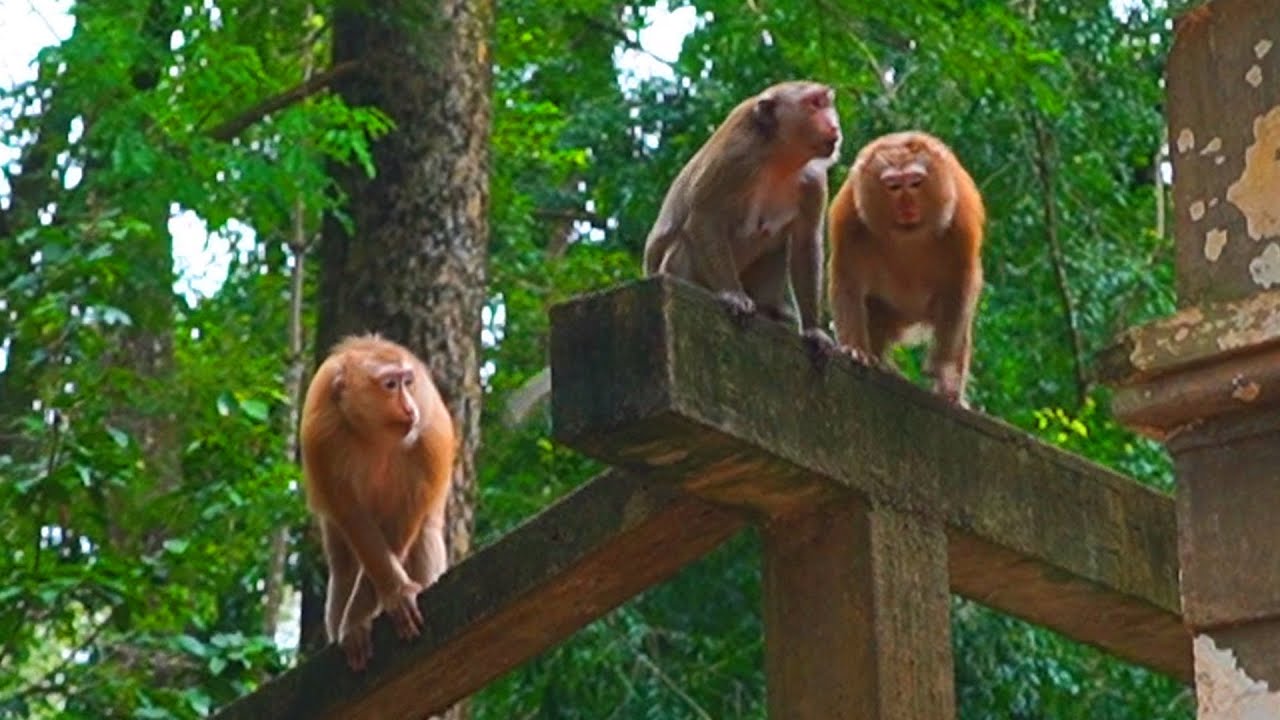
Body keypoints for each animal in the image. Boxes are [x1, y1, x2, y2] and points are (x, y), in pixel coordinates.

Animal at [299, 334, 456, 671]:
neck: (375, 437)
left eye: (408, 382)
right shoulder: (322, 435)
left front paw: (384, 603)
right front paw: (359, 621)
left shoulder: (429, 441)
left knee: (423, 538)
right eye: (390, 385)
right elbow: (353, 518)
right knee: (344, 566)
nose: (409, 408)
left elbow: (400, 527)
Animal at [643, 80, 842, 347]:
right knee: (684, 242)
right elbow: (705, 215)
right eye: (814, 104)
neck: (779, 157)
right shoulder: (737, 156)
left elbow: (805, 242)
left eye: (826, 104)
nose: (834, 125)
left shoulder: (813, 180)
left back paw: (771, 309)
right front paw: (732, 295)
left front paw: (812, 329)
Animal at [827, 130, 985, 405]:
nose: (906, 205)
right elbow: (847, 277)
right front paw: (855, 348)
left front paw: (945, 373)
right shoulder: (849, 215)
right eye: (893, 186)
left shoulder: (961, 219)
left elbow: (960, 286)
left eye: (914, 183)